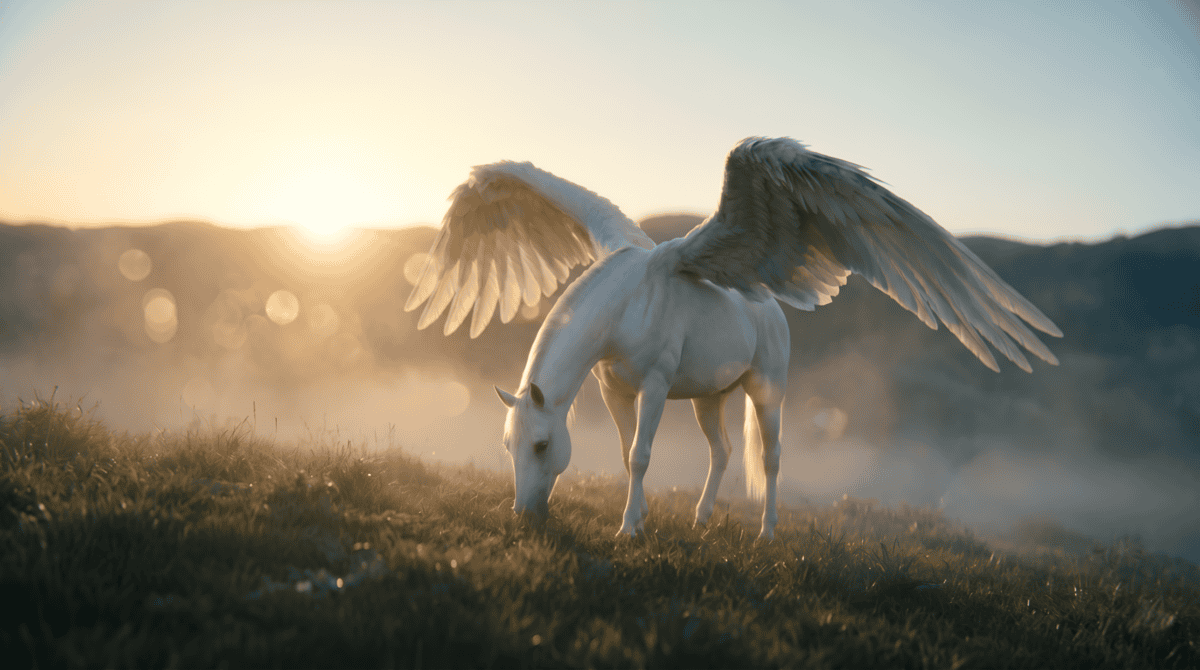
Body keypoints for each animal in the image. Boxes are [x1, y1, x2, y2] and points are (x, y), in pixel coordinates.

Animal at [405, 137, 1061, 540]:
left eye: (542, 446)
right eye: (508, 446)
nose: (525, 518)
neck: (627, 301)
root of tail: (766, 302)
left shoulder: (654, 385)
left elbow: (641, 455)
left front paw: (628, 529)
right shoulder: (614, 389)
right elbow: (624, 453)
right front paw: (640, 517)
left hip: (766, 389)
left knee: (769, 458)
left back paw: (767, 532)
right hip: (710, 396)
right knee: (721, 453)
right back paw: (700, 519)